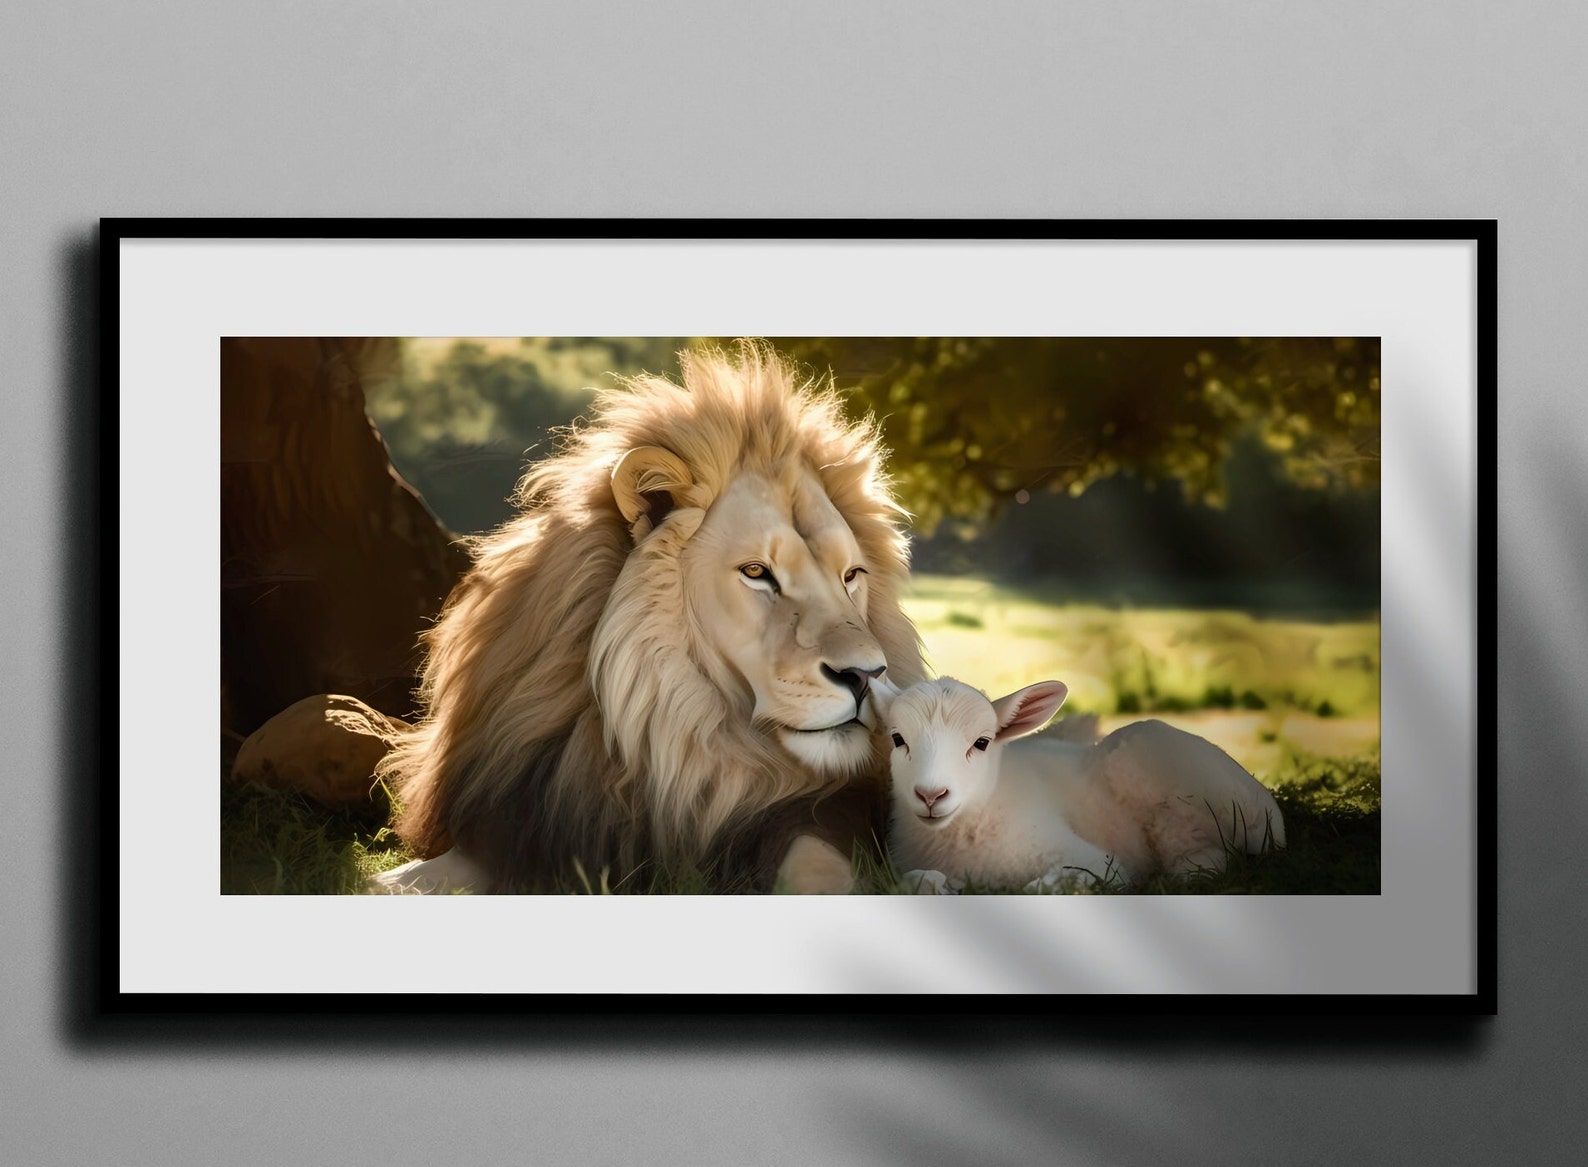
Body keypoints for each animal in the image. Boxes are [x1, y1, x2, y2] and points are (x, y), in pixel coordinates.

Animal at [374, 342, 926, 893]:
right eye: (756, 572)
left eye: (851, 575)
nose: (866, 676)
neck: (675, 740)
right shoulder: (520, 824)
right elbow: (398, 879)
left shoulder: (822, 814)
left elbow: (817, 864)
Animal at [876, 677, 1286, 894]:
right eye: (897, 739)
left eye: (981, 742)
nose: (931, 795)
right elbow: (916, 881)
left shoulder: (1093, 860)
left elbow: (1045, 885)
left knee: (1213, 858)